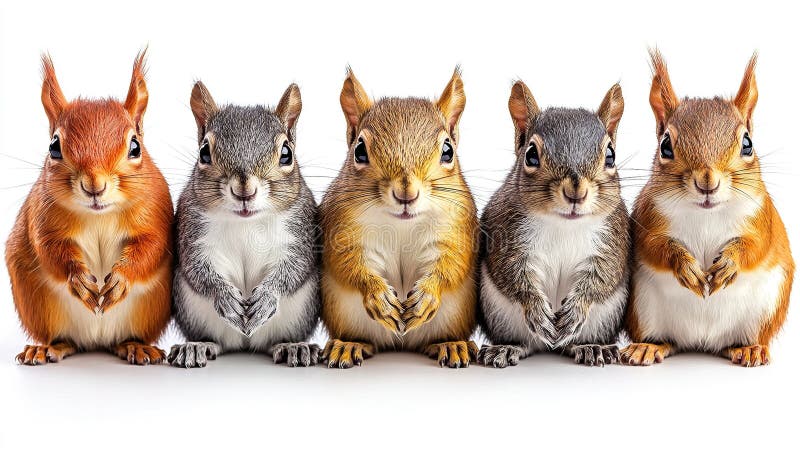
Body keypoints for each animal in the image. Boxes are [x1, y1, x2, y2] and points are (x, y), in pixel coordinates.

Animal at [6, 51, 174, 365]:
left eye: (135, 147)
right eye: (54, 147)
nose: (94, 185)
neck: (100, 215)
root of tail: (97, 341)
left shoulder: (156, 213)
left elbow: (152, 246)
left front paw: (121, 278)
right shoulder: (42, 216)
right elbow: (49, 249)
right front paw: (79, 279)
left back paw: (136, 346)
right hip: (39, 309)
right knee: (63, 339)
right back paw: (47, 348)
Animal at [167, 81, 321, 368]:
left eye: (286, 153)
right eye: (204, 152)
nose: (244, 191)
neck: (246, 223)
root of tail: (246, 344)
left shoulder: (300, 233)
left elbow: (295, 268)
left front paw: (268, 296)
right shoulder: (193, 232)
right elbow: (197, 270)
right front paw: (224, 297)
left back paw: (292, 346)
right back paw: (197, 346)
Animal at [319, 68, 480, 368]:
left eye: (448, 150)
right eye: (359, 150)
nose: (406, 193)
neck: (402, 225)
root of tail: (402, 346)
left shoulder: (458, 231)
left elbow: (453, 263)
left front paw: (427, 295)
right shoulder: (341, 230)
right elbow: (348, 263)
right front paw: (378, 296)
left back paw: (450, 344)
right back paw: (349, 344)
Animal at [477, 80, 630, 367]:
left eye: (611, 156)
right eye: (531, 155)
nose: (576, 192)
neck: (564, 225)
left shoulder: (613, 239)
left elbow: (603, 276)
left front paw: (576, 308)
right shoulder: (505, 235)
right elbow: (513, 276)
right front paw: (536, 309)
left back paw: (590, 347)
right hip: (501, 317)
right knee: (525, 341)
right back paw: (507, 347)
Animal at [622, 50, 794, 367]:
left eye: (748, 144)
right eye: (665, 145)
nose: (707, 182)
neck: (706, 214)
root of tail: (702, 341)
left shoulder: (761, 218)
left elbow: (756, 246)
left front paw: (730, 262)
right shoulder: (647, 218)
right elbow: (654, 246)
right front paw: (685, 266)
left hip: (767, 310)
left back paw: (749, 349)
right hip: (642, 309)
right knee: (666, 340)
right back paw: (648, 347)